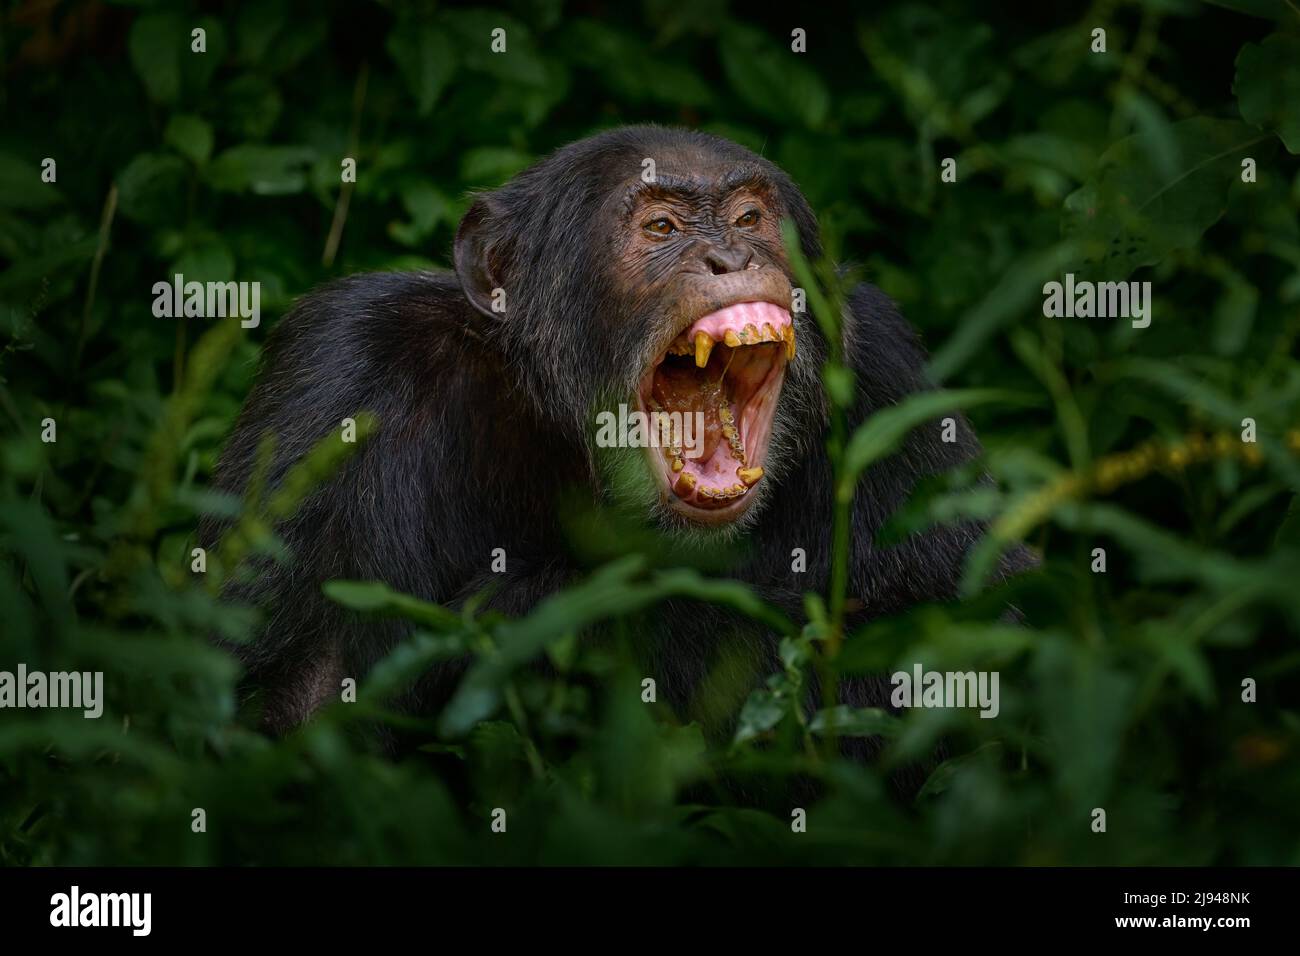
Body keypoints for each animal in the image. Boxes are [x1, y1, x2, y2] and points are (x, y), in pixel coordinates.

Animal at [201, 125, 1035, 751]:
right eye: (661, 227)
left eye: (749, 219)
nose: (731, 256)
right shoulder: (342, 370)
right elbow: (281, 690)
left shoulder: (888, 373)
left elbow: (970, 644)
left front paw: (535, 614)